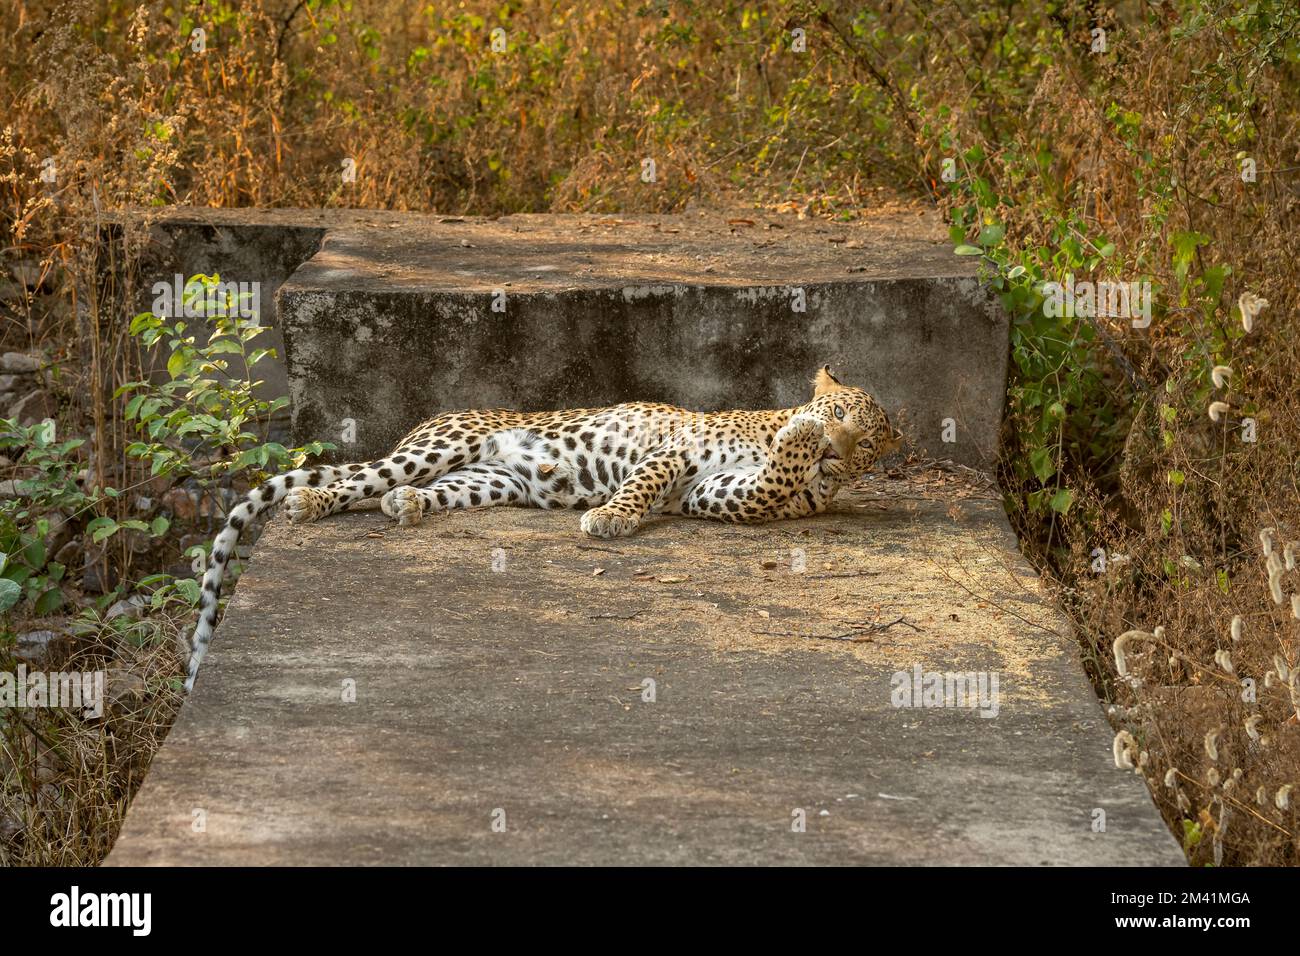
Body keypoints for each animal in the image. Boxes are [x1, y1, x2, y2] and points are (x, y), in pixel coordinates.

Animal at [184, 365, 900, 689]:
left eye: (867, 444)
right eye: (840, 412)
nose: (836, 449)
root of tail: (427, 423)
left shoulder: (723, 494)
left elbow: (770, 479)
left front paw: (801, 453)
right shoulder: (679, 454)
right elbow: (645, 483)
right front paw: (610, 516)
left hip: (485, 481)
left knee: (408, 492)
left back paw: (406, 507)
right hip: (436, 447)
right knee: (356, 480)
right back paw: (309, 505)